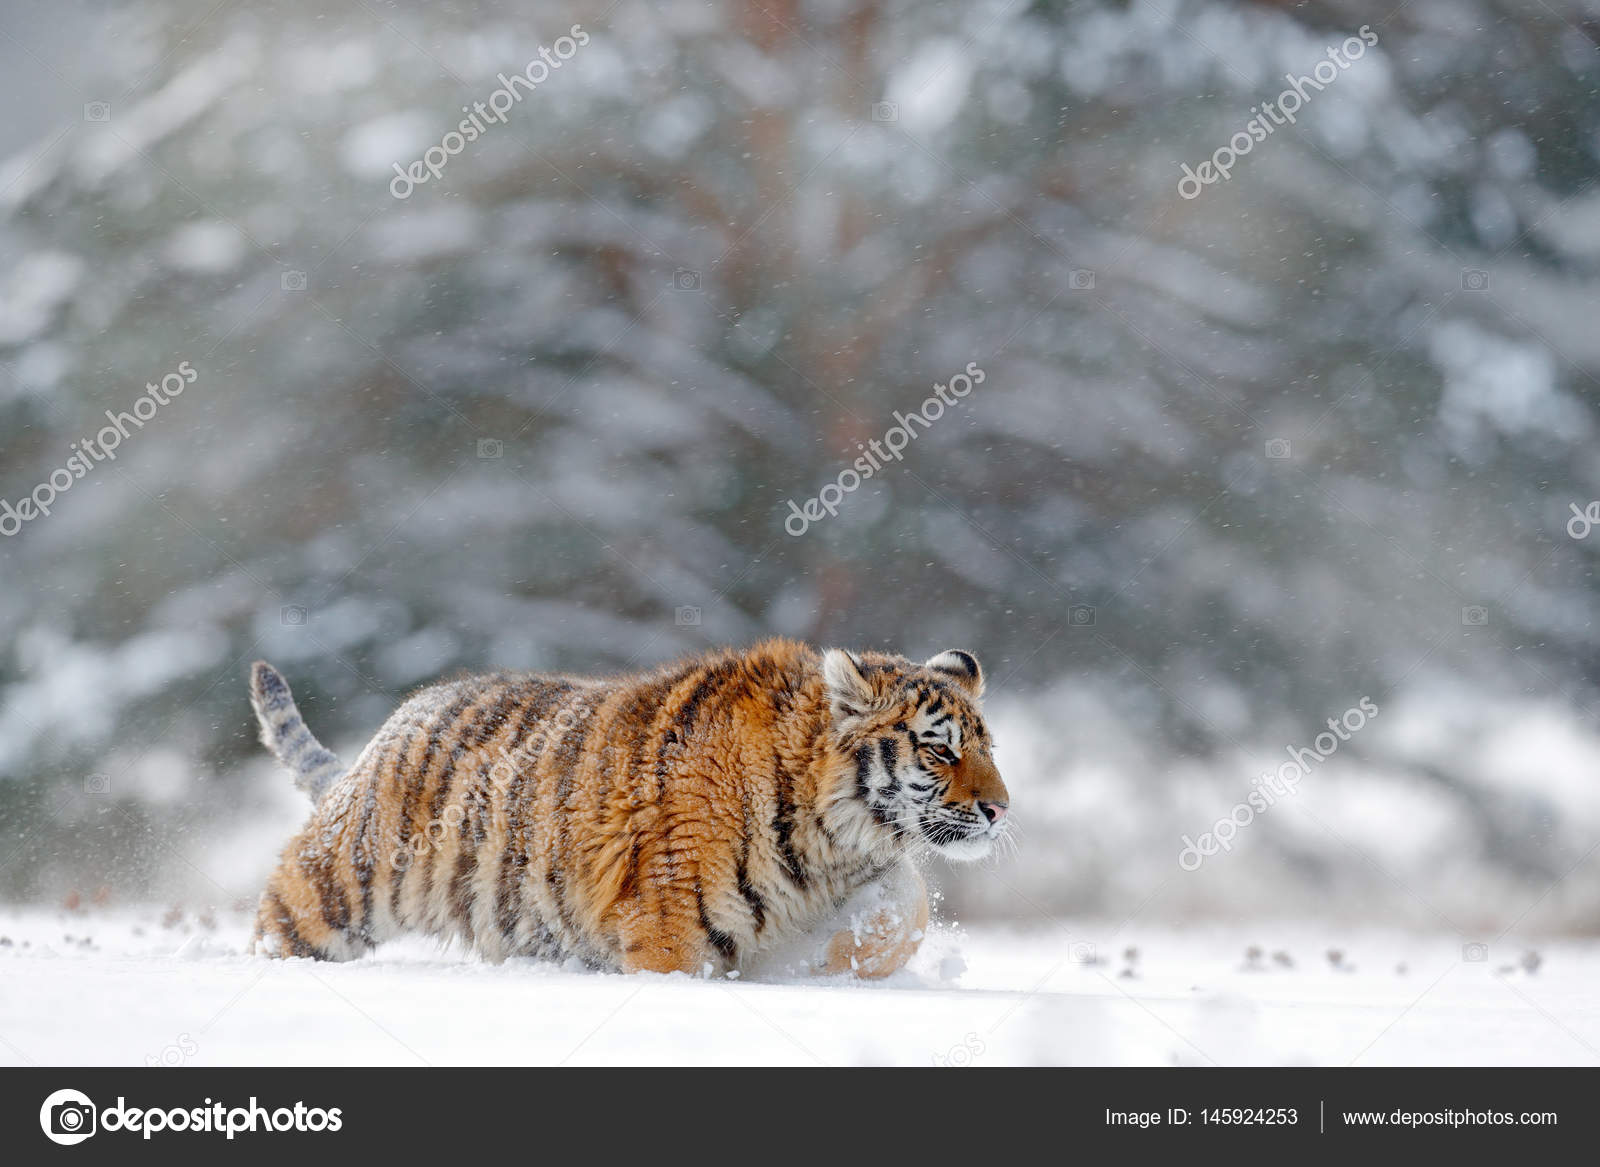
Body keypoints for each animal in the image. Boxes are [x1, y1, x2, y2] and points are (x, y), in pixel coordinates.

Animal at [247, 638, 1010, 978]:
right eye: (940, 750)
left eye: (987, 745)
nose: (1001, 809)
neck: (832, 839)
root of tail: (391, 725)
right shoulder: (664, 923)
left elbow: (903, 905)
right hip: (335, 888)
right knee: (279, 913)